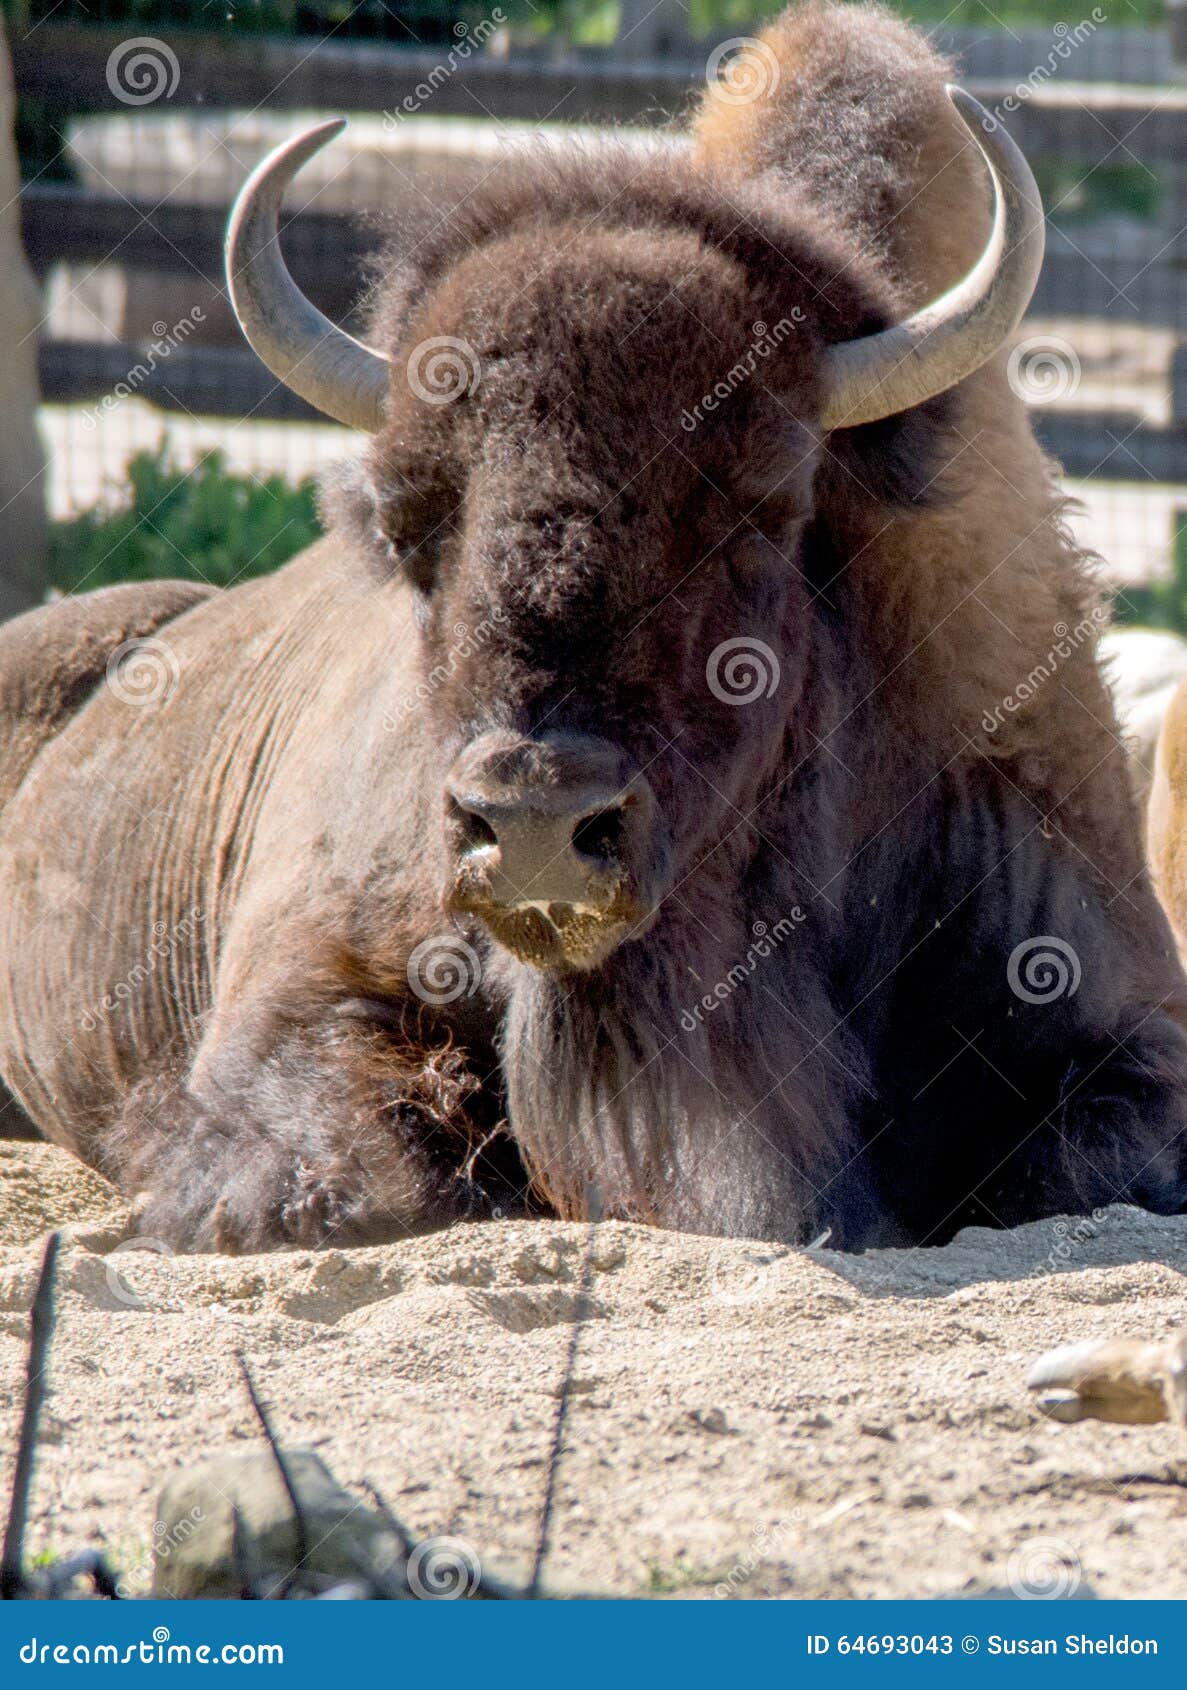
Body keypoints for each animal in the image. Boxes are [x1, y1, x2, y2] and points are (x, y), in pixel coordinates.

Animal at [2, 1, 1186, 1253]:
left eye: (764, 507)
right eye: (410, 521)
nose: (534, 823)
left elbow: (1073, 1168)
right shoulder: (303, 994)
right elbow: (369, 1174)